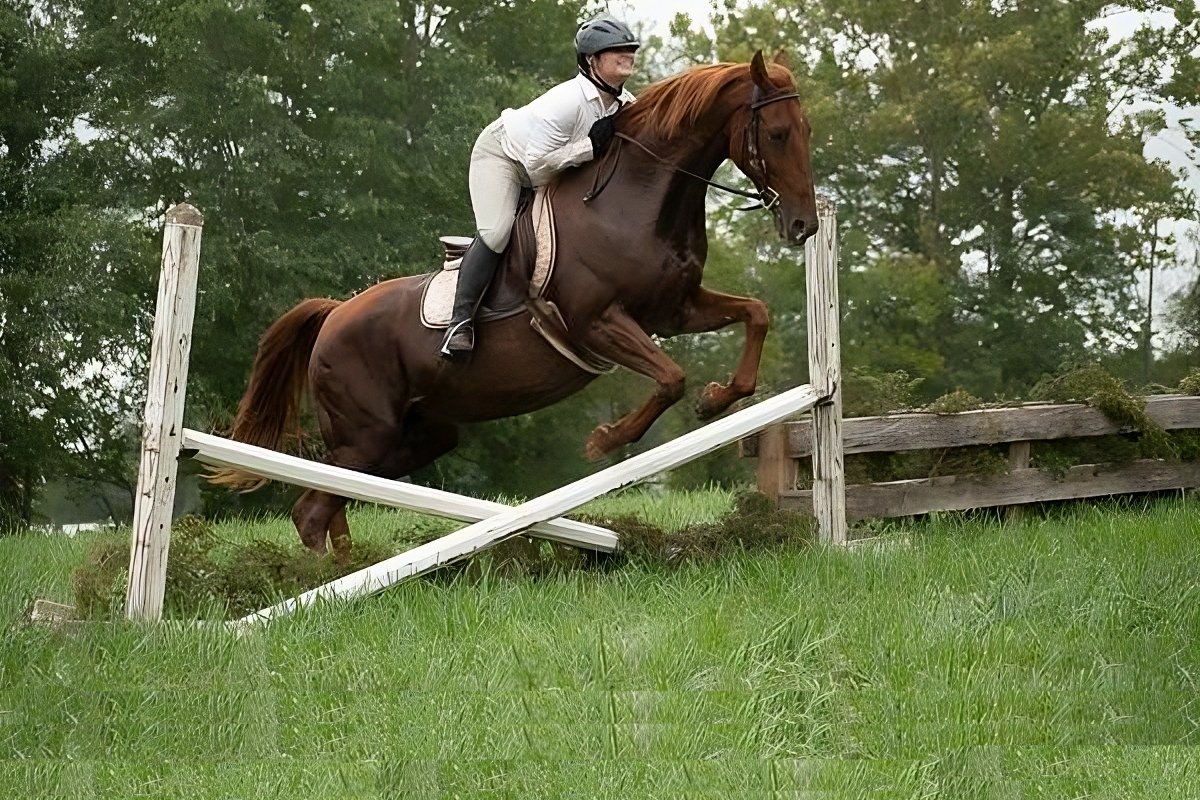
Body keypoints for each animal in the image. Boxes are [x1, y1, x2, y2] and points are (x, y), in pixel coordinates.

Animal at [214, 49, 818, 561]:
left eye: (806, 132)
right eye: (778, 133)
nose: (803, 227)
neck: (637, 201)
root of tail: (334, 313)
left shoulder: (676, 311)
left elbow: (756, 314)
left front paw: (719, 397)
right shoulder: (597, 323)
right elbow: (670, 379)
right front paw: (604, 440)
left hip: (417, 434)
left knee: (331, 500)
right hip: (367, 433)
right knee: (313, 510)